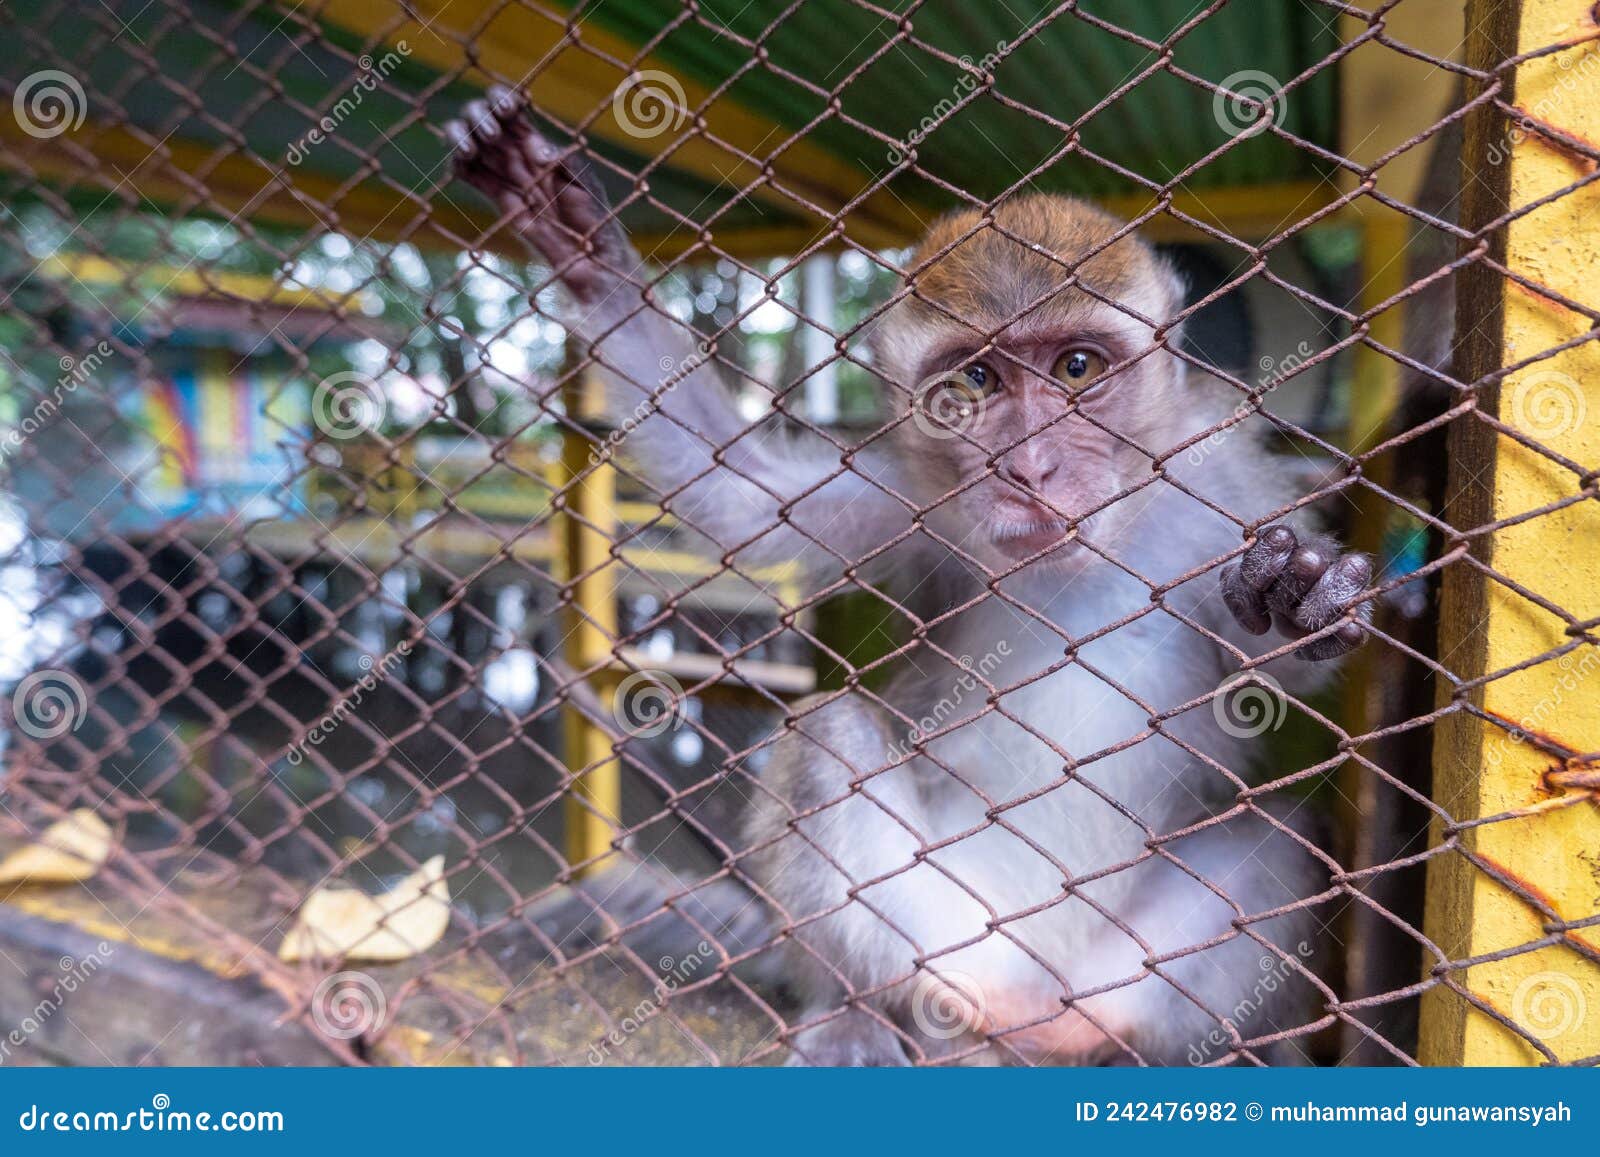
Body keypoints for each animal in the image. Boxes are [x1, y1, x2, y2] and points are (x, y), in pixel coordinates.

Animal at [444, 87, 1373, 1066]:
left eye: (1077, 367)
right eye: (977, 381)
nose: (1031, 468)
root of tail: (1032, 994)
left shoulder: (1223, 482)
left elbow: (1283, 678)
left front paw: (1298, 602)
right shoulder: (912, 498)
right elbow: (741, 496)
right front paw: (588, 258)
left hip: (1122, 967)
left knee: (1285, 835)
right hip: (945, 922)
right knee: (828, 738)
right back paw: (871, 1007)